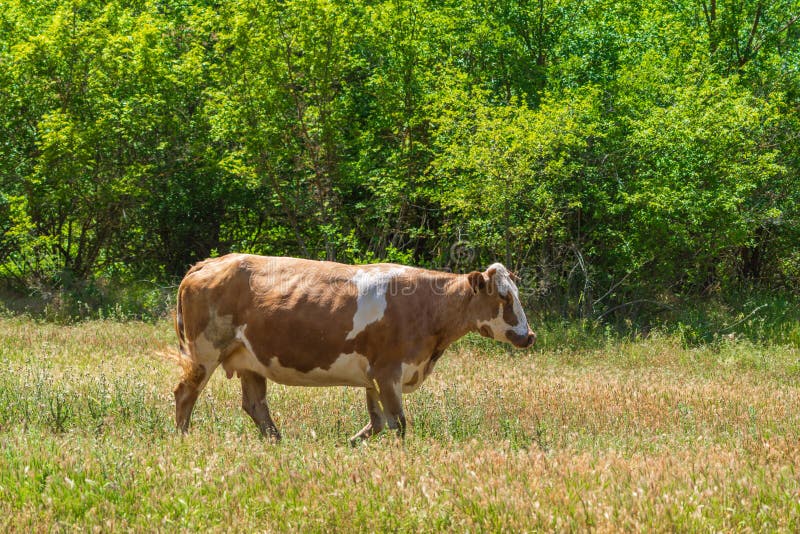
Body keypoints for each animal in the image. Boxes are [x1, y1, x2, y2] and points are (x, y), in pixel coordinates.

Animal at [173, 254, 535, 444]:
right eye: (504, 297)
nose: (529, 335)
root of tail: (210, 263)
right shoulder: (388, 372)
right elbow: (399, 422)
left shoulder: (372, 377)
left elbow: (377, 422)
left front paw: (349, 444)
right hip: (204, 352)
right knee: (185, 393)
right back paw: (183, 438)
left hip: (249, 360)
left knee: (255, 405)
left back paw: (278, 441)